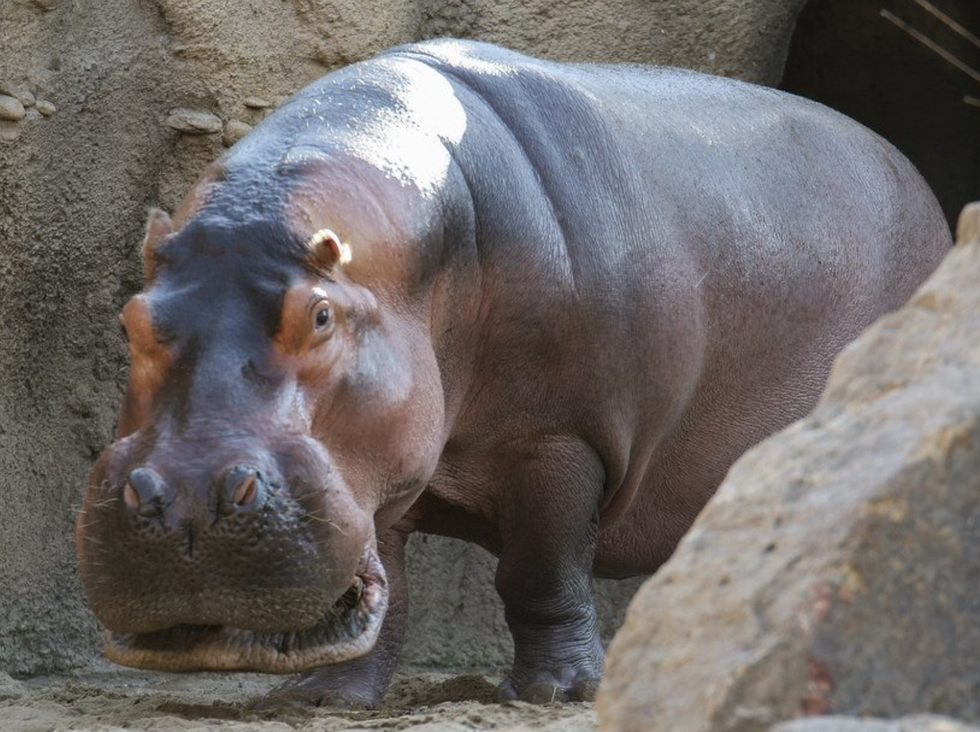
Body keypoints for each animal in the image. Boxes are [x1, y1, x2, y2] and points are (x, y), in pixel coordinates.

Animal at [75, 39, 951, 708]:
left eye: (319, 317)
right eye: (132, 319)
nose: (190, 499)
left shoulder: (560, 440)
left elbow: (541, 572)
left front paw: (557, 693)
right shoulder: (385, 464)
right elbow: (391, 585)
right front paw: (324, 699)